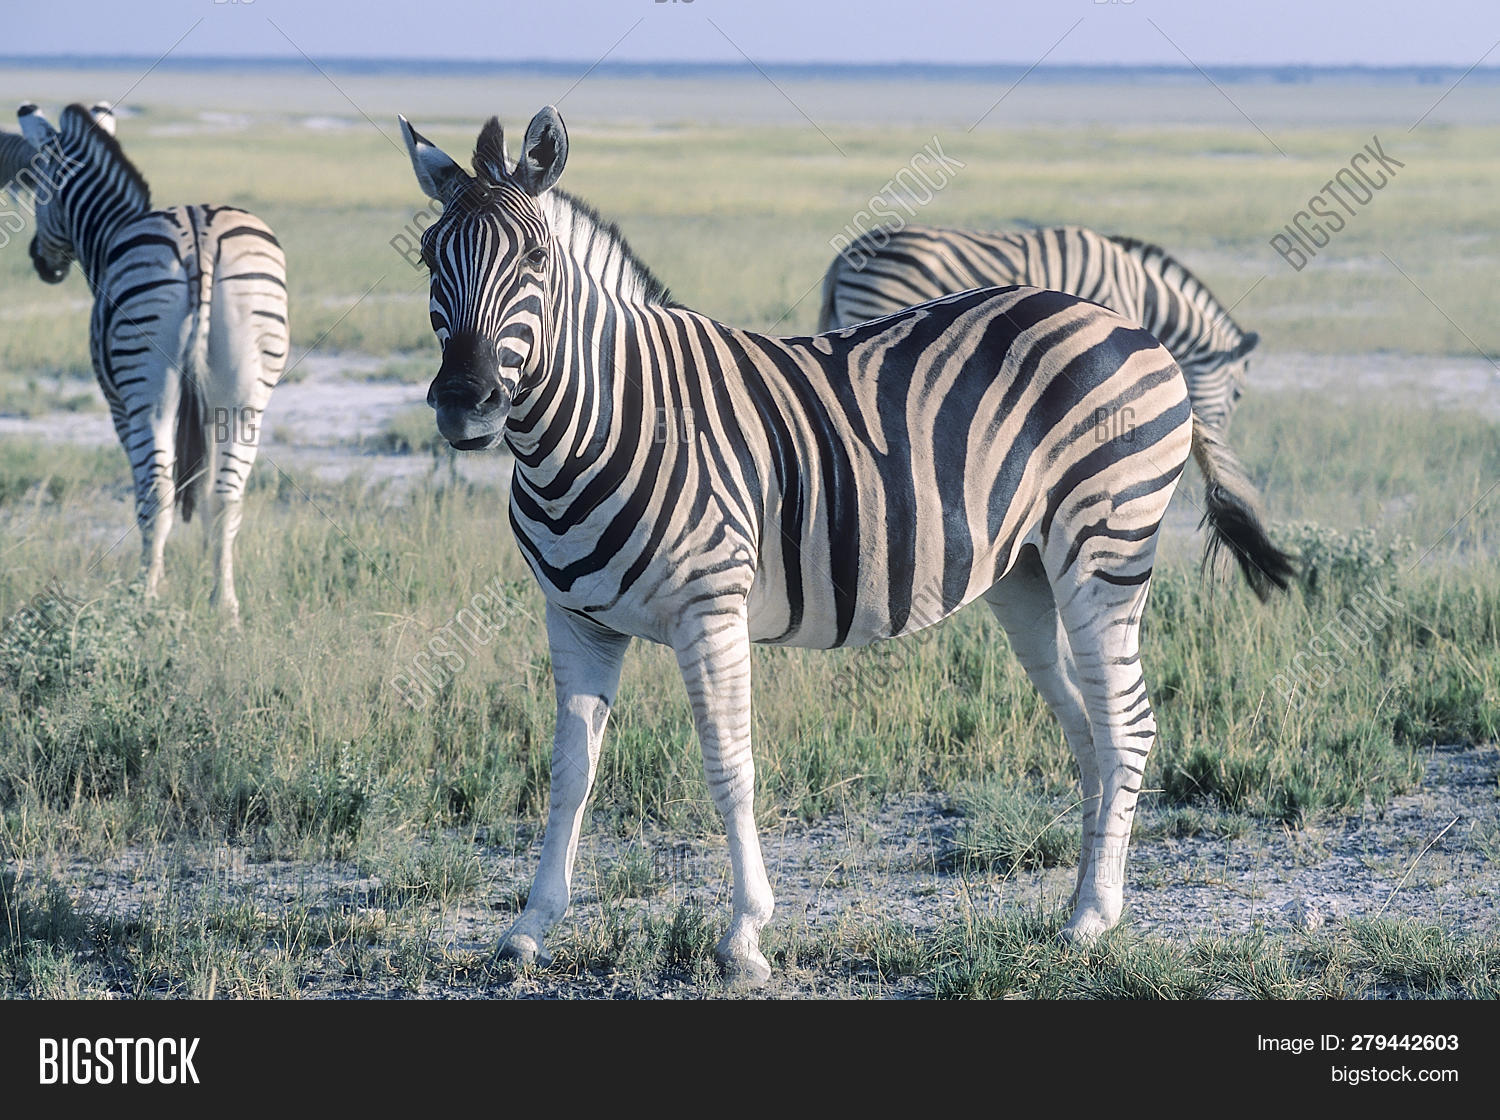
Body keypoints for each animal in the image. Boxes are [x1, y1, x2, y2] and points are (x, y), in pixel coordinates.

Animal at [17, 102, 289, 626]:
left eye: (39, 187)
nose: (39, 260)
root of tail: (201, 233)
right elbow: (204, 488)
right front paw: (208, 565)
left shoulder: (116, 405)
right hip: (246, 388)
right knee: (227, 494)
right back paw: (225, 606)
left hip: (147, 392)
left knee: (155, 491)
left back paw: (145, 596)